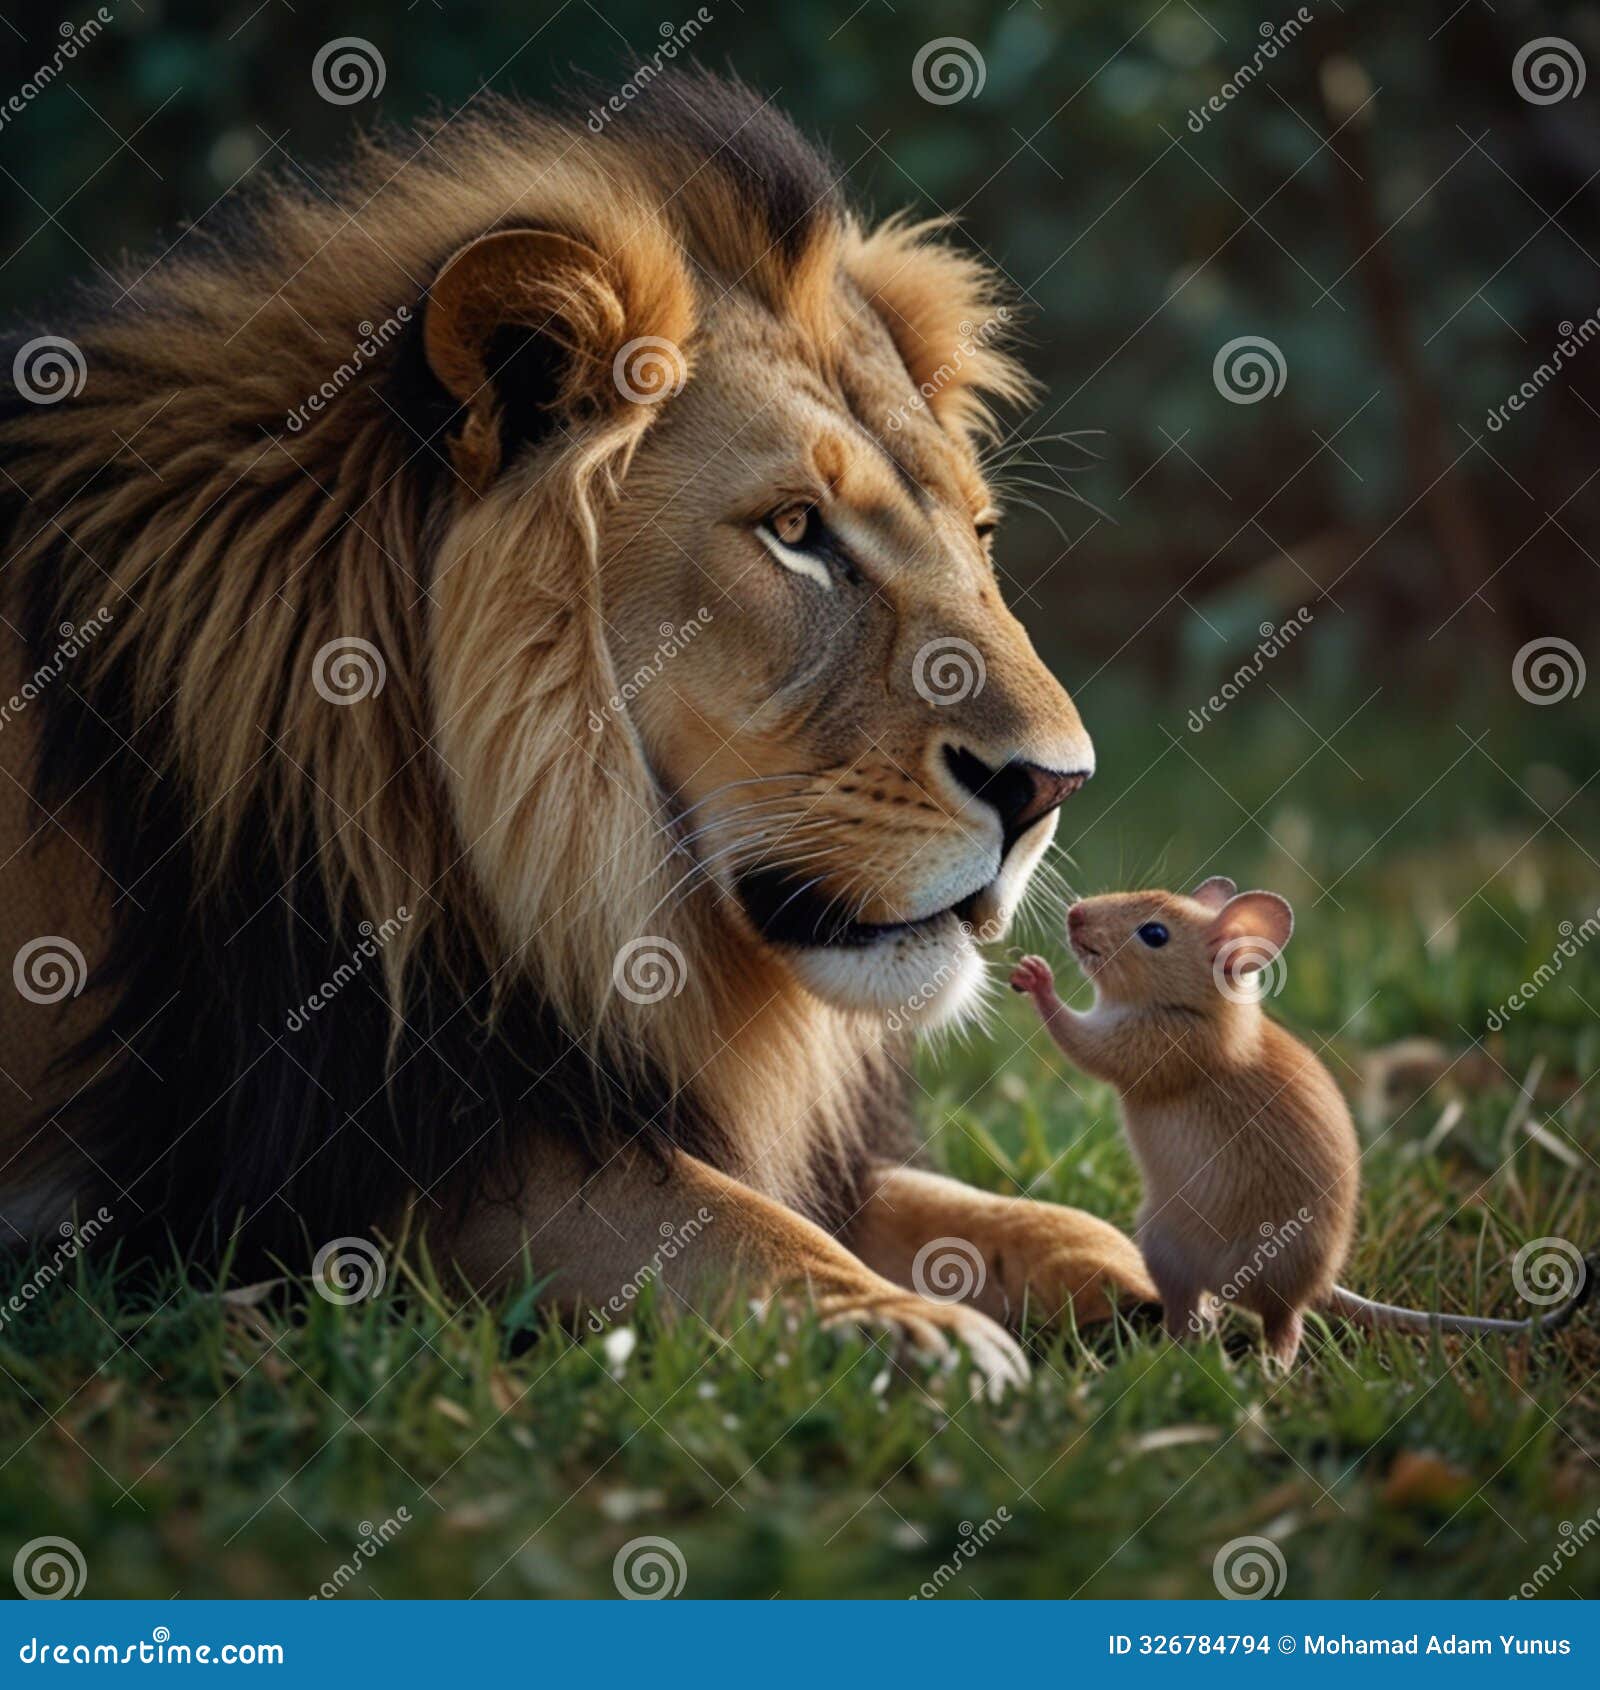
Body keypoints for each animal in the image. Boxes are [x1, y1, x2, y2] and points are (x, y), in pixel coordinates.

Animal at [0, 72, 1154, 1390]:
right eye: (796, 530)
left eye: (980, 533)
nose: (1051, 786)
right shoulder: (317, 1162)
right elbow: (724, 1222)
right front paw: (899, 1330)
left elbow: (921, 1203)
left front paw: (1153, 1274)